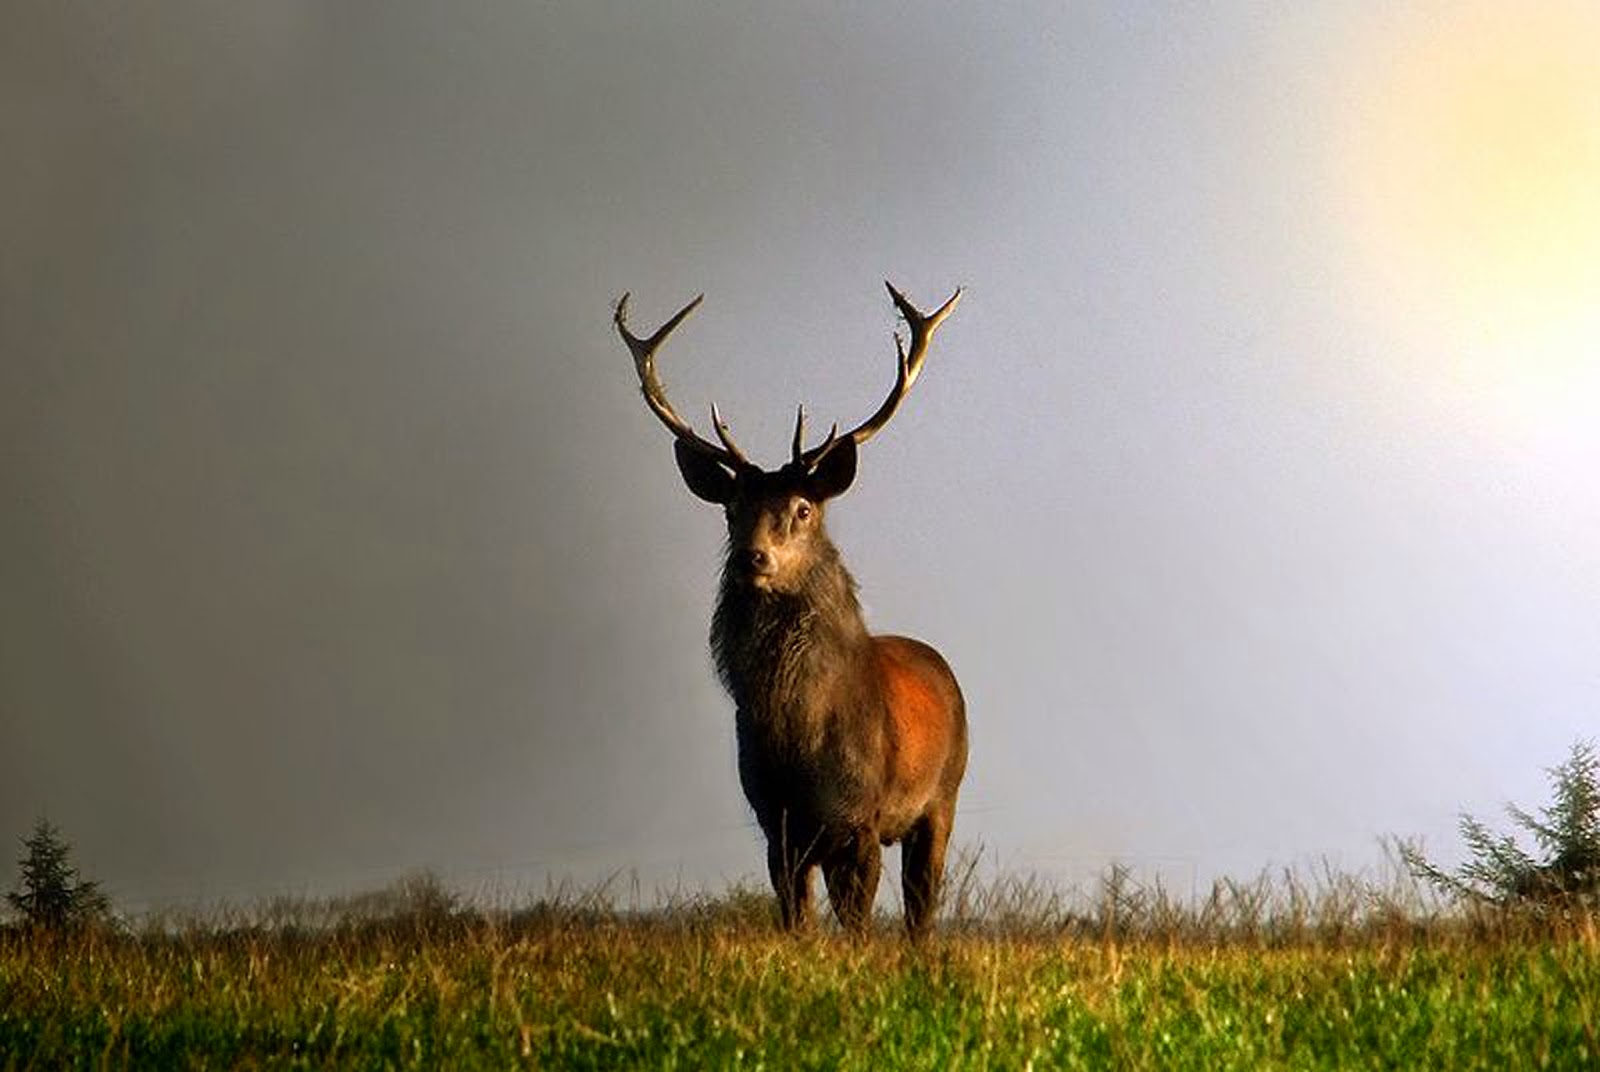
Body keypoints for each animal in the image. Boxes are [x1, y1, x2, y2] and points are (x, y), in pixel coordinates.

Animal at [614, 282, 968, 939]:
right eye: (731, 509)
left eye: (802, 508)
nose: (752, 557)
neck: (800, 743)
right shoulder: (775, 823)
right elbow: (796, 920)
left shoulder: (861, 818)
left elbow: (858, 926)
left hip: (944, 795)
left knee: (922, 907)